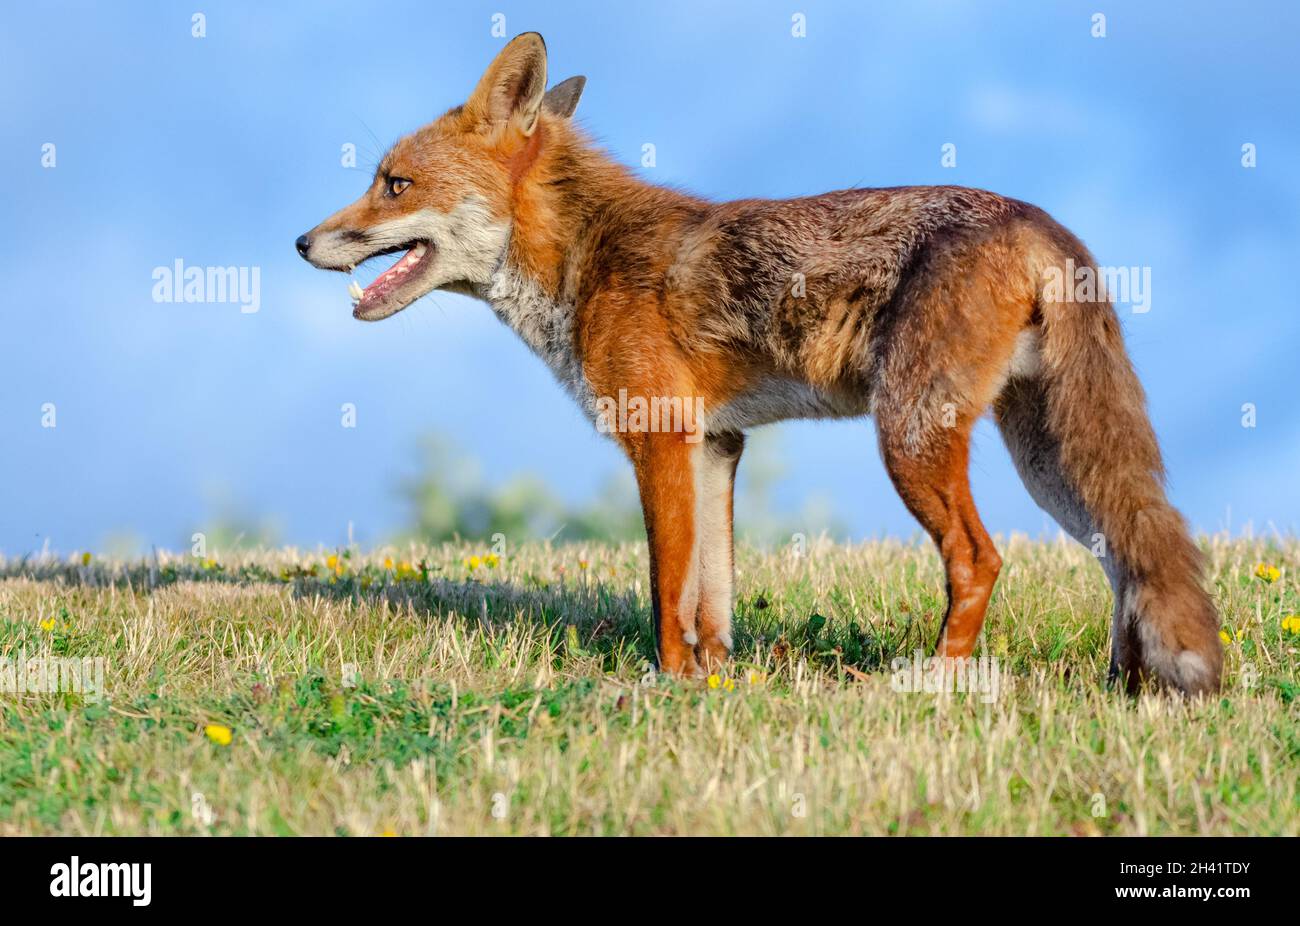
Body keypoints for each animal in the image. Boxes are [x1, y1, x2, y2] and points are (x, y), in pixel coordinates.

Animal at [296, 33, 1222, 695]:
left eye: (393, 183)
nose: (303, 241)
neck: (584, 259)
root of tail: (1035, 218)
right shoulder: (716, 444)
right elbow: (713, 594)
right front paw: (713, 679)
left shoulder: (660, 435)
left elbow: (666, 584)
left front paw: (668, 683)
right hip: (1044, 460)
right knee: (1129, 550)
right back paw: (1122, 689)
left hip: (910, 435)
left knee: (982, 558)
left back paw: (935, 681)